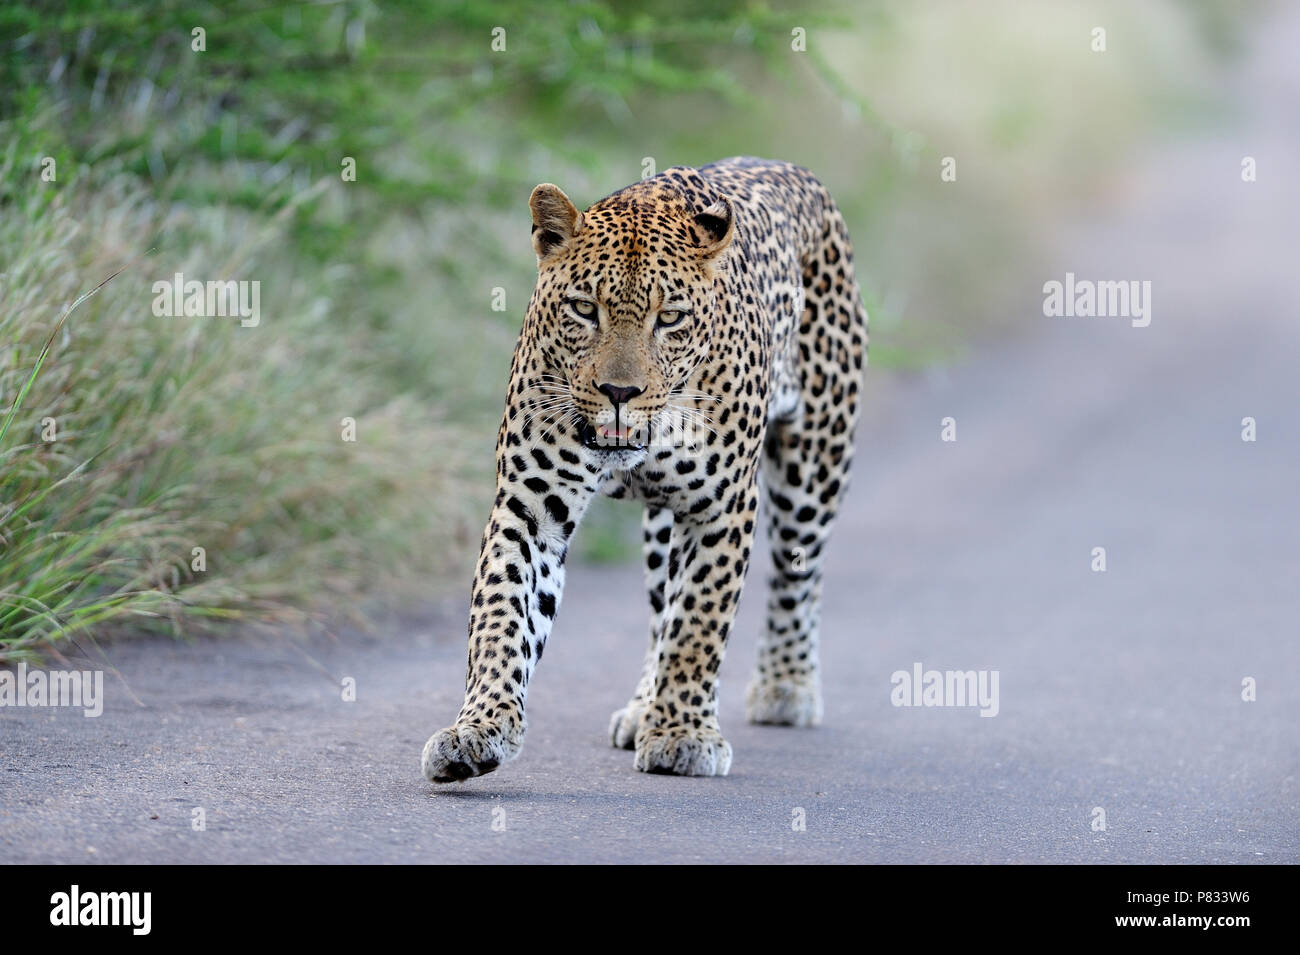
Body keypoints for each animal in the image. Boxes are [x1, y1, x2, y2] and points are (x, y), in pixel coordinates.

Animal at [422, 156, 867, 780]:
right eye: (585, 309)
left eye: (670, 318)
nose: (619, 392)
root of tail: (794, 170)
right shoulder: (529, 504)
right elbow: (501, 615)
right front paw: (478, 728)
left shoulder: (724, 507)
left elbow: (700, 622)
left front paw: (682, 734)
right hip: (663, 526)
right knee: (661, 607)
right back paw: (641, 707)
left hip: (815, 464)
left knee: (796, 575)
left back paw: (786, 686)